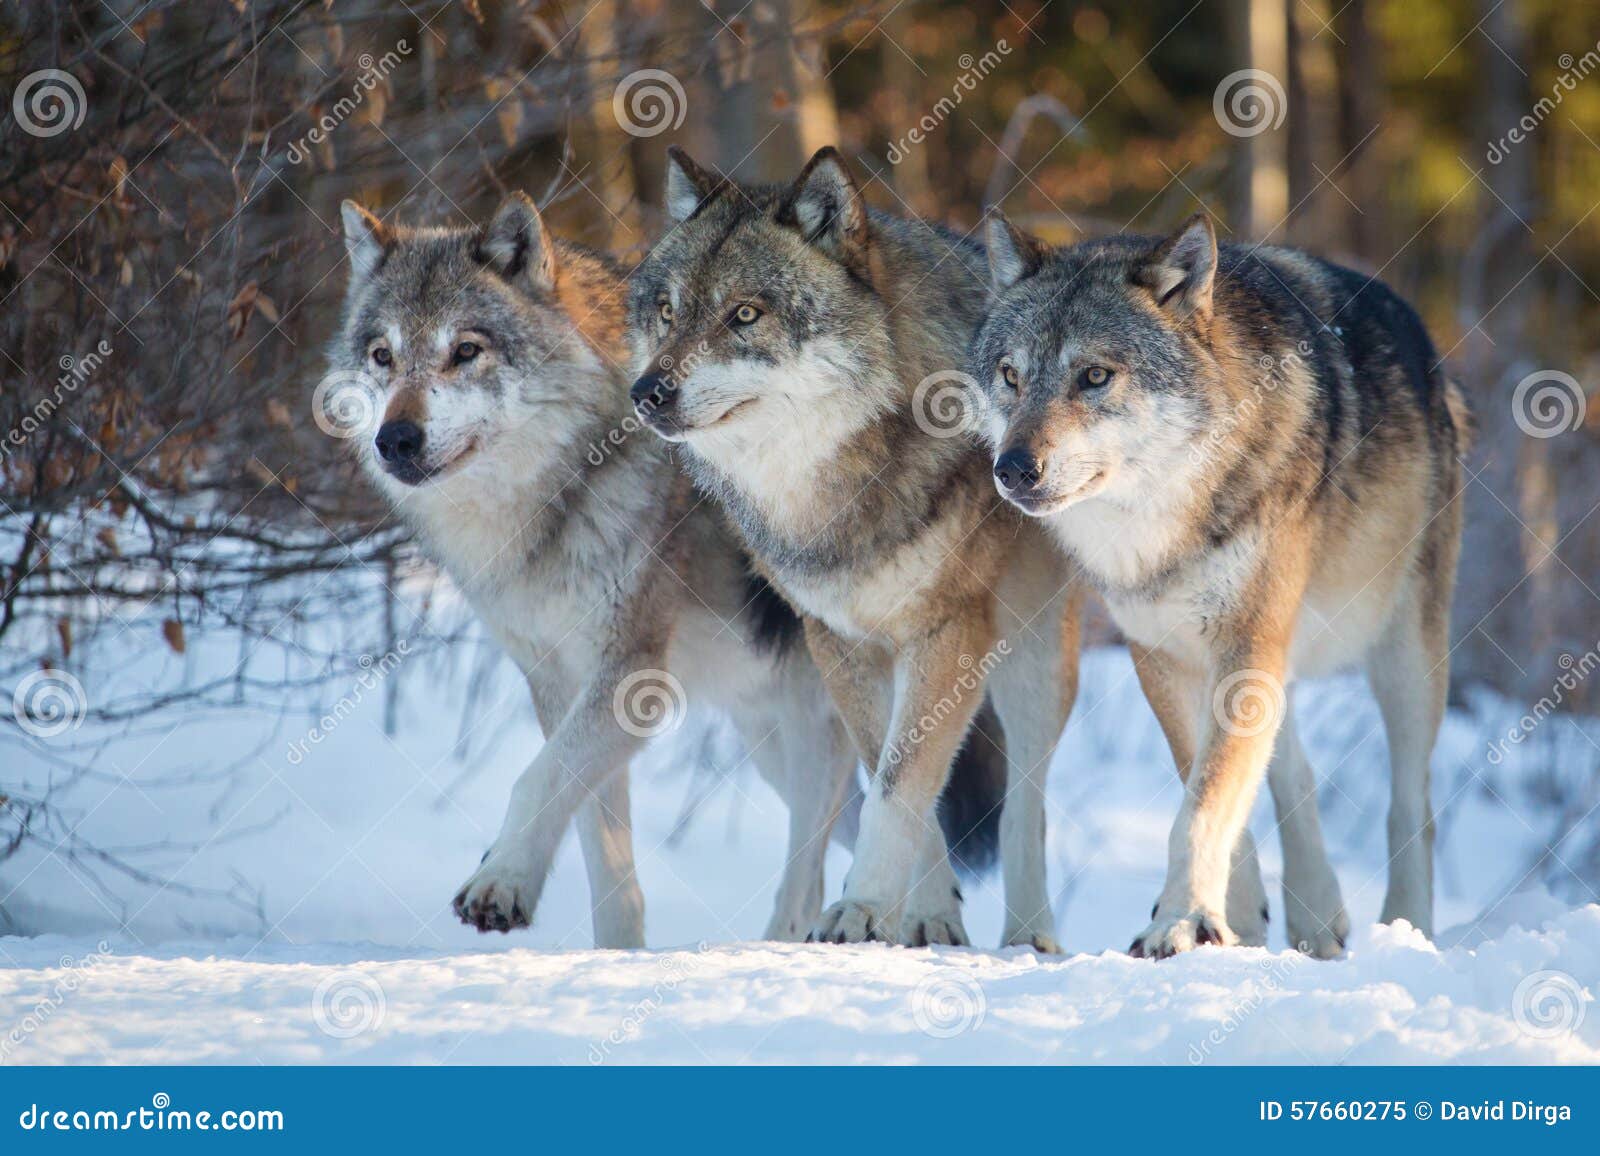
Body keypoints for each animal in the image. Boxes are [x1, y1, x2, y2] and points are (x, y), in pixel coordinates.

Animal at [333, 194, 1006, 947]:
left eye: (465, 351)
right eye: (383, 356)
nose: (396, 439)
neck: (559, 494)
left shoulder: (631, 677)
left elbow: (535, 780)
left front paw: (497, 881)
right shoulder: (557, 683)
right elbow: (599, 847)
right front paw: (613, 950)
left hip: (819, 715)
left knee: (835, 835)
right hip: (771, 732)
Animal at [626, 146, 1085, 951]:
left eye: (745, 314)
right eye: (668, 312)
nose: (646, 392)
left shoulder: (949, 631)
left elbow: (904, 781)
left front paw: (863, 907)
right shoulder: (837, 640)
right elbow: (893, 775)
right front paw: (918, 916)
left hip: (1031, 656)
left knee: (1029, 801)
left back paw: (1030, 938)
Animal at [976, 211, 1471, 957]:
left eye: (1094, 376)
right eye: (1011, 375)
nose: (1011, 468)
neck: (1165, 518)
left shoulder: (1244, 644)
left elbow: (1204, 804)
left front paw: (1180, 922)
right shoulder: (1164, 654)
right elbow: (1205, 787)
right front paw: (1226, 917)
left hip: (1404, 657)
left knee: (1412, 804)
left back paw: (1405, 929)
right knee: (1292, 770)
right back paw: (1315, 917)